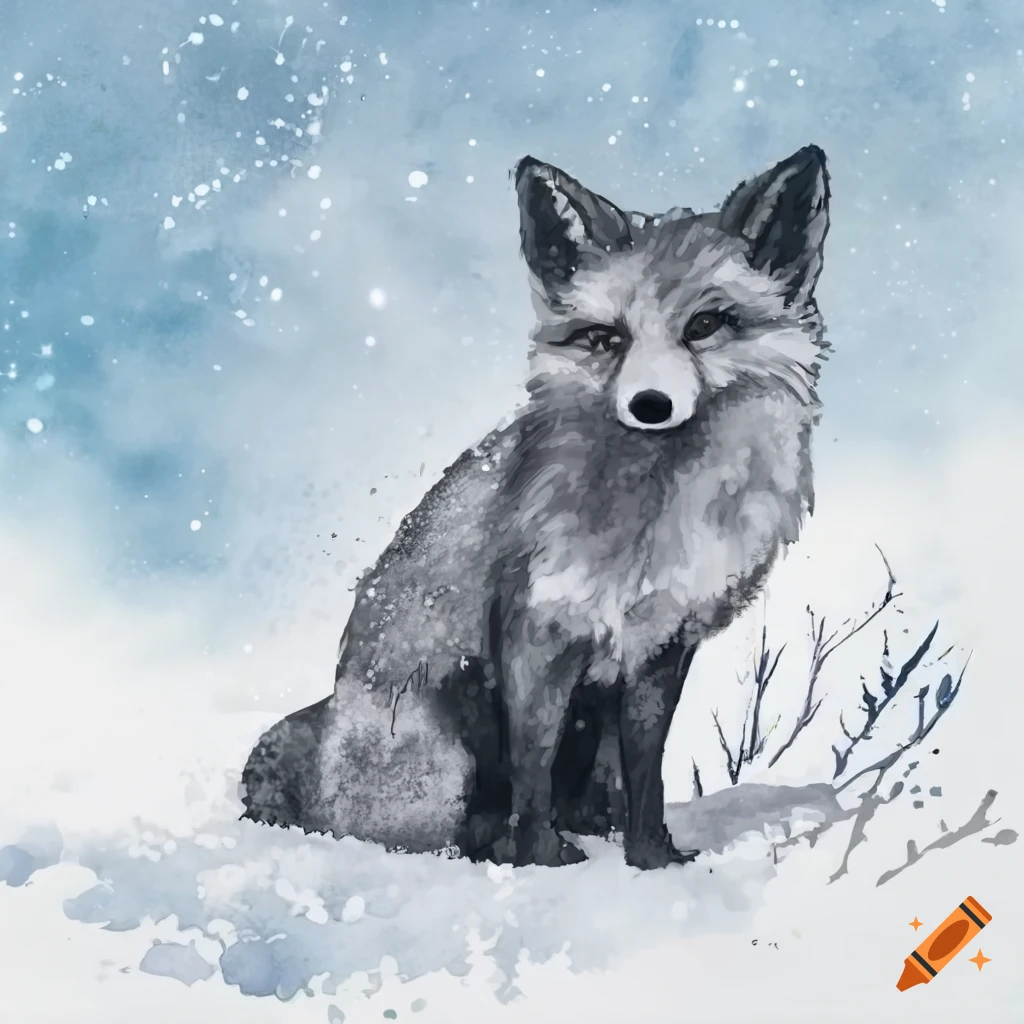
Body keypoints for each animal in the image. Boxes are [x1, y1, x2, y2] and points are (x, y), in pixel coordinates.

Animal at [241, 144, 831, 870]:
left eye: (705, 325)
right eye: (606, 337)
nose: (650, 405)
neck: (649, 525)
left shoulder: (660, 646)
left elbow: (648, 769)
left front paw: (651, 857)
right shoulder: (536, 629)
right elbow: (534, 762)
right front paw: (541, 857)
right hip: (442, 751)